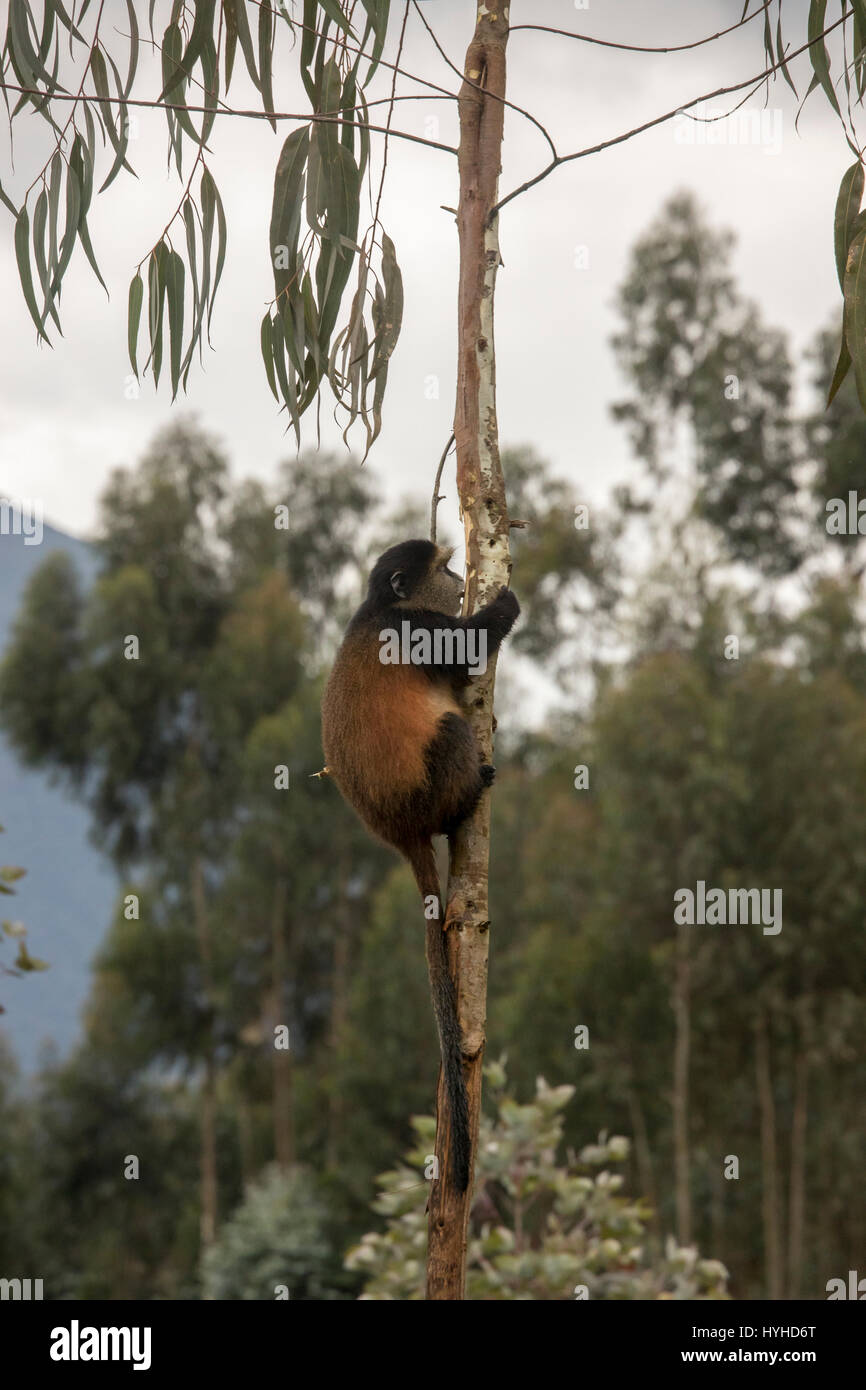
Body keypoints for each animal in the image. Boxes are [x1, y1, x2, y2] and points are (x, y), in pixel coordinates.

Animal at [321, 539, 520, 1192]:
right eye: (443, 568)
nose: (460, 580)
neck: (381, 606)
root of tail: (398, 831)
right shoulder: (416, 631)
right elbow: (466, 651)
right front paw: (505, 601)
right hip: (429, 784)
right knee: (451, 729)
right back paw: (471, 789)